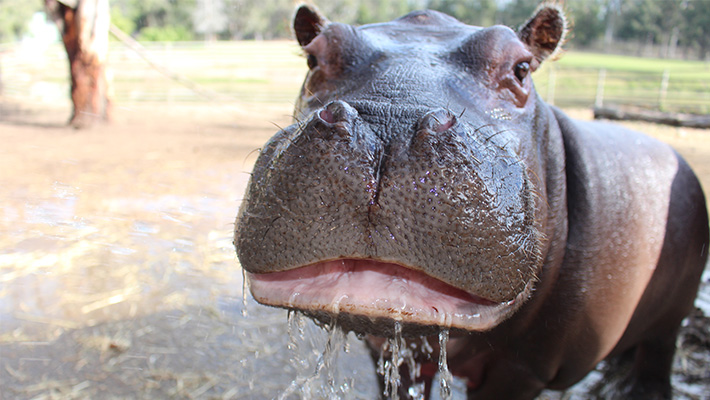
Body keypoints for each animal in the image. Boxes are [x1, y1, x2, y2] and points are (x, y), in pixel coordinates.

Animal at [234, 4, 709, 399]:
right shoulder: (390, 350)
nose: (387, 125)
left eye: (521, 67)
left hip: (673, 318)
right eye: (314, 57)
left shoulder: (522, 370)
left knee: (658, 358)